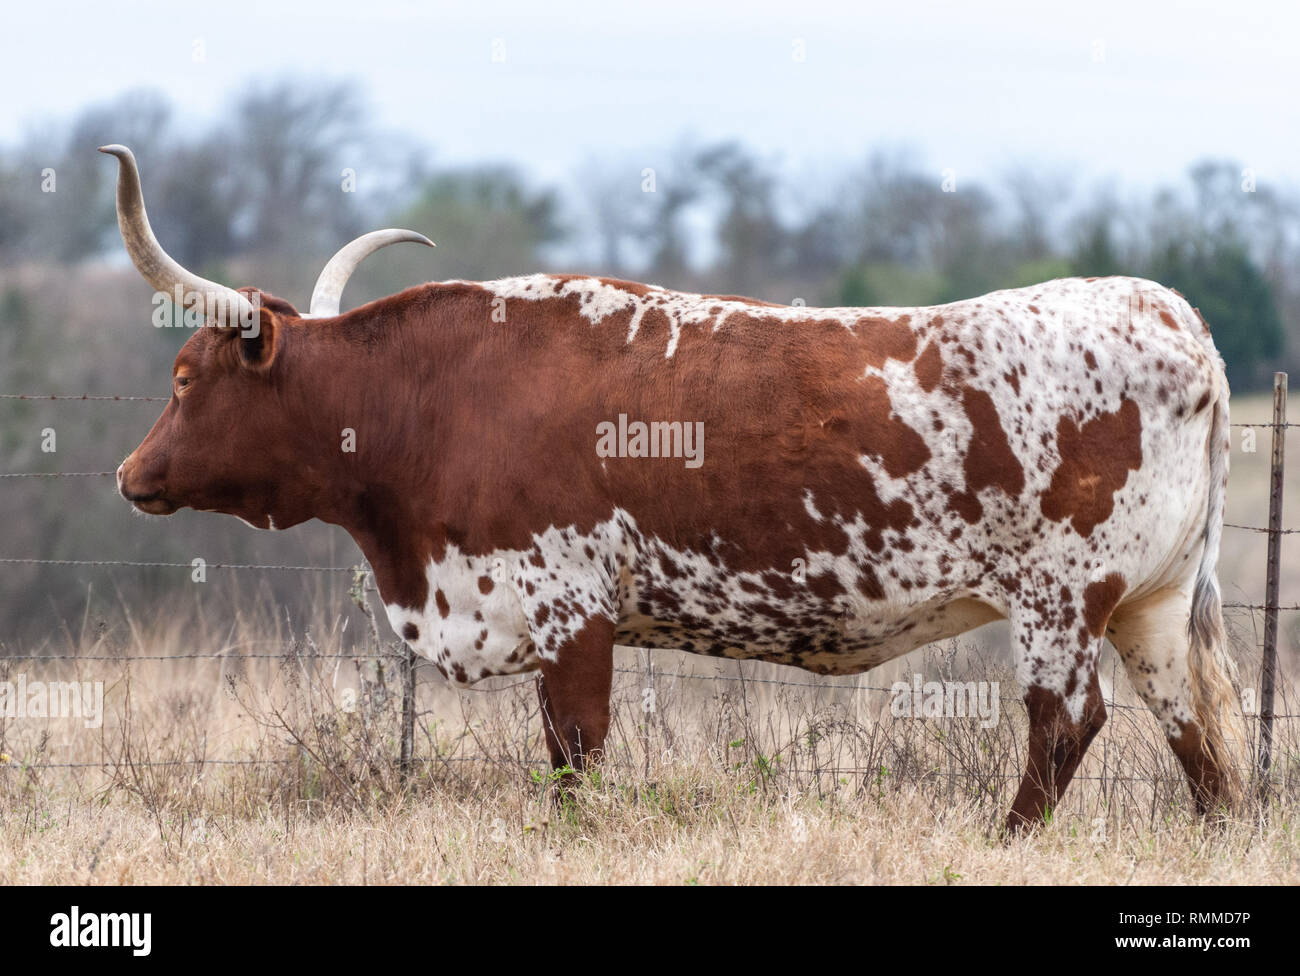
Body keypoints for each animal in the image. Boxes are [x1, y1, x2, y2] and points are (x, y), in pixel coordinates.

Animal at [102, 145, 1244, 832]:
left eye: (186, 378)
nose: (129, 475)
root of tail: (1177, 320)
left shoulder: (569, 611)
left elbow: (574, 753)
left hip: (1062, 597)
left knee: (1067, 722)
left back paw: (1003, 841)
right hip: (1149, 603)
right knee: (1196, 731)